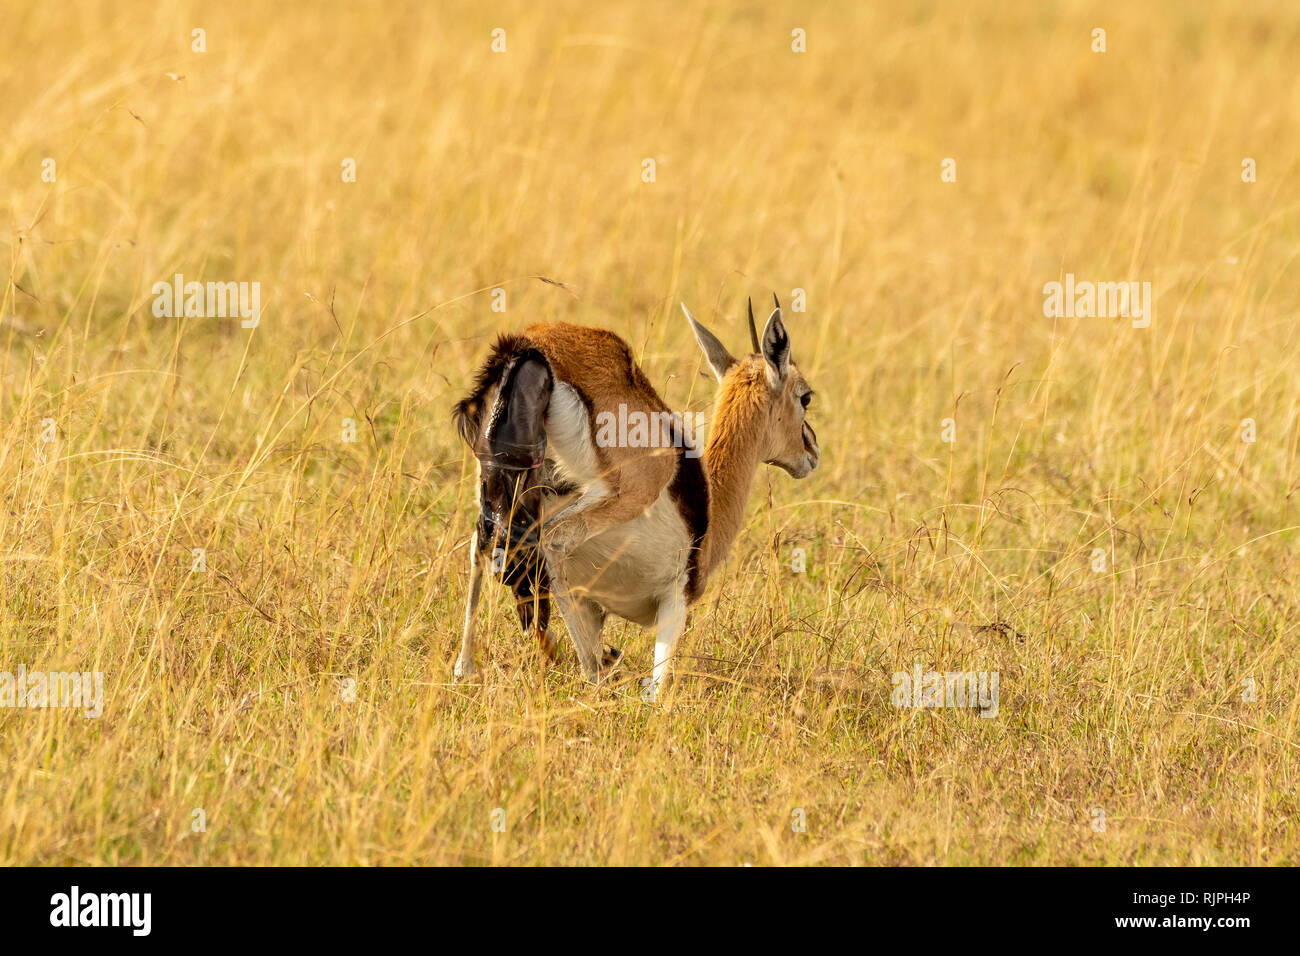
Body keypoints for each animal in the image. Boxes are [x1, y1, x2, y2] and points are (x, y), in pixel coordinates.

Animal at [452, 296, 819, 699]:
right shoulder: (675, 597)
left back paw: (466, 669)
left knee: (482, 545)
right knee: (551, 542)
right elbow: (657, 689)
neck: (709, 510)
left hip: (498, 489)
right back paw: (583, 670)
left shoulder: (594, 605)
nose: (812, 451)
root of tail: (530, 346)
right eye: (805, 396)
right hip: (613, 499)